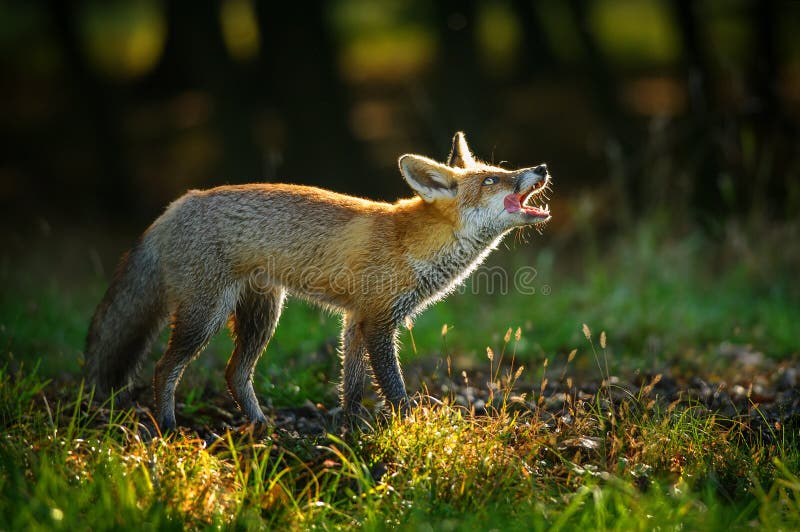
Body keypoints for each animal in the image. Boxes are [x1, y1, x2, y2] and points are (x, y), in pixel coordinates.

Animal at [85, 132, 552, 430]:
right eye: (492, 179)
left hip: (263, 316)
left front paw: (351, 433)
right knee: (164, 369)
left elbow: (352, 387)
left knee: (234, 373)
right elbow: (394, 389)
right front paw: (413, 430)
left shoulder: (355, 321)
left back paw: (260, 427)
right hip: (207, 315)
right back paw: (167, 426)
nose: (542, 167)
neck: (411, 243)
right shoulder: (378, 322)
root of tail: (178, 203)